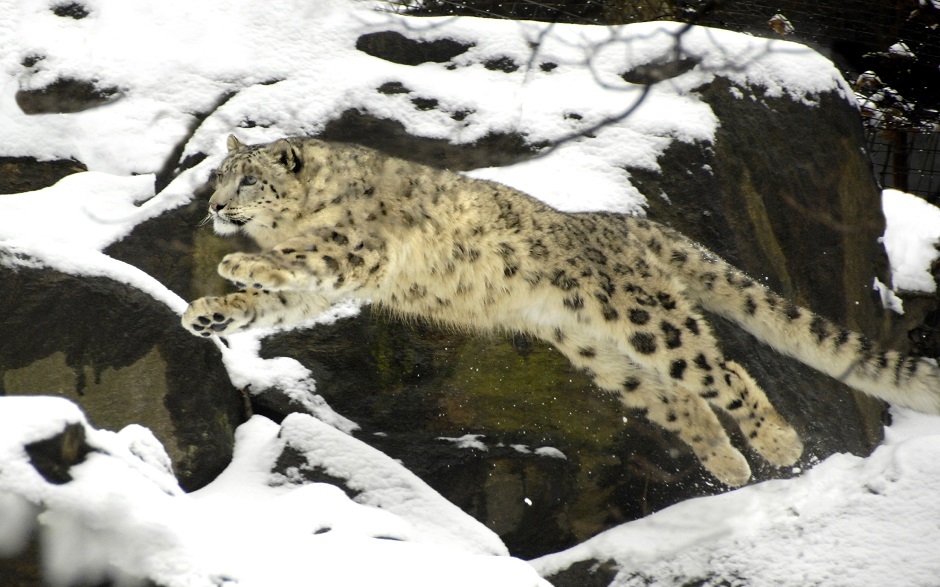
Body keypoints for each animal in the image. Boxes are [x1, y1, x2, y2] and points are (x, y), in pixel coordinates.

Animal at [182, 134, 940, 487]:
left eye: (248, 179)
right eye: (219, 177)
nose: (214, 206)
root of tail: (628, 224)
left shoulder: (356, 253)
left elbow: (300, 260)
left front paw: (238, 266)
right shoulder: (327, 288)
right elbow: (277, 302)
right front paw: (209, 315)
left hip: (650, 323)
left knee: (725, 373)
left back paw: (778, 444)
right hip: (600, 353)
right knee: (682, 399)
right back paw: (730, 467)